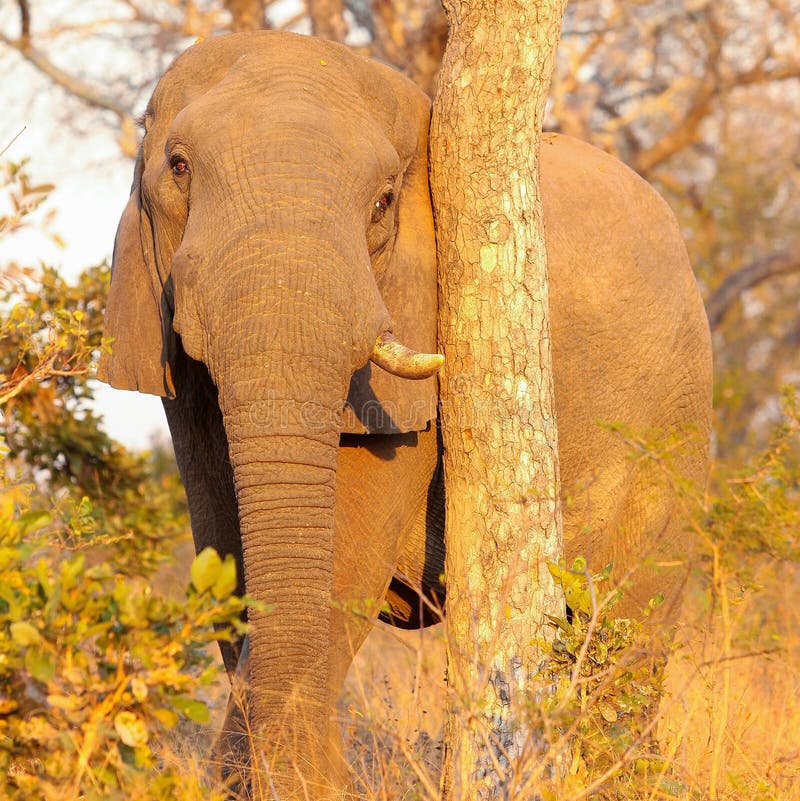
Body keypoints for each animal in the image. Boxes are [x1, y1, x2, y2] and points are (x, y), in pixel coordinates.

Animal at [98, 30, 713, 800]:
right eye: (178, 169)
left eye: (384, 202)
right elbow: (226, 553)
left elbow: (344, 561)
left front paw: (304, 783)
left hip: (673, 428)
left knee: (626, 639)